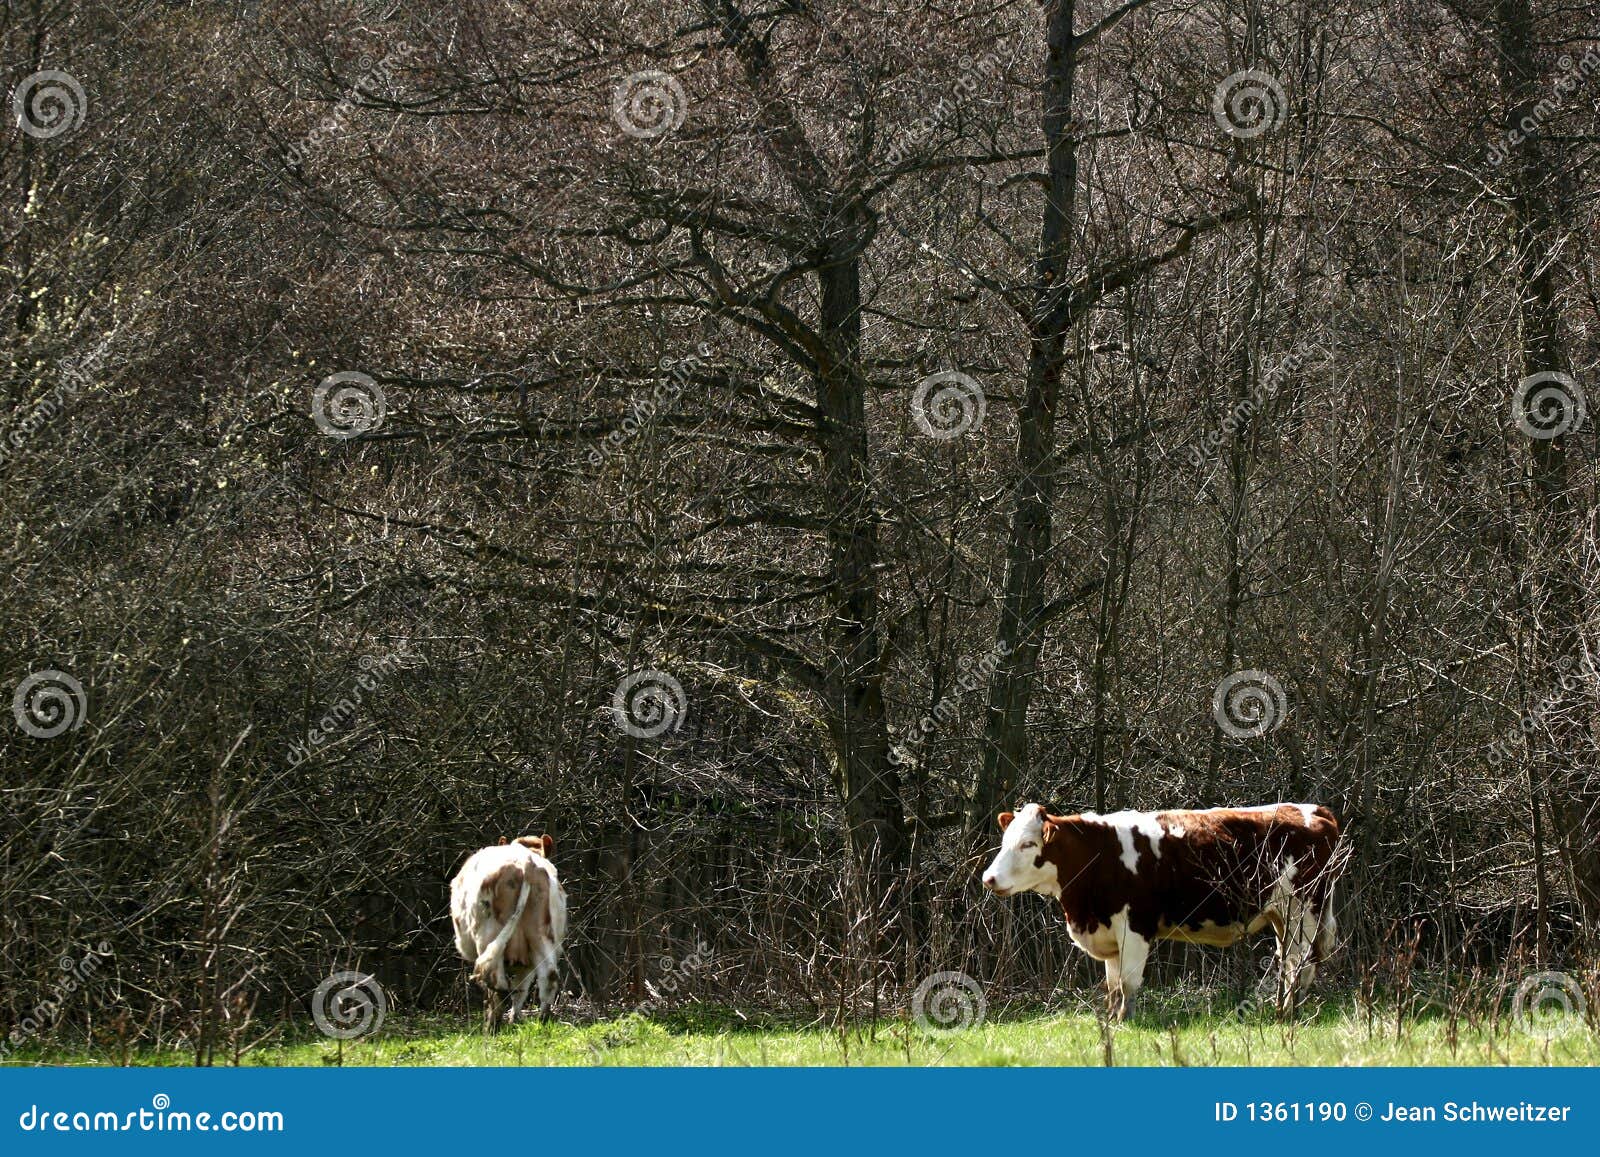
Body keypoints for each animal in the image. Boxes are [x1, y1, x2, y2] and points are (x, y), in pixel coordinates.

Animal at [450, 835, 568, 1029]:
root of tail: (527, 863)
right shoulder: (527, 962)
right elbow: (521, 988)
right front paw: (514, 1019)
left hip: (488, 935)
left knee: (495, 982)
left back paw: (491, 1026)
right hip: (541, 937)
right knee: (548, 977)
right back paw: (543, 1020)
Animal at [981, 803, 1343, 1020]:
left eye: (1028, 844)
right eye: (1005, 841)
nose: (988, 878)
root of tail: (1311, 810)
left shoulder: (1135, 927)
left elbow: (1127, 983)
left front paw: (1125, 1023)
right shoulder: (1110, 932)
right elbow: (1113, 986)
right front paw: (1112, 1020)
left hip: (1303, 911)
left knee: (1300, 964)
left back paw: (1289, 1014)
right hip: (1282, 917)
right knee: (1289, 963)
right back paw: (1280, 1011)